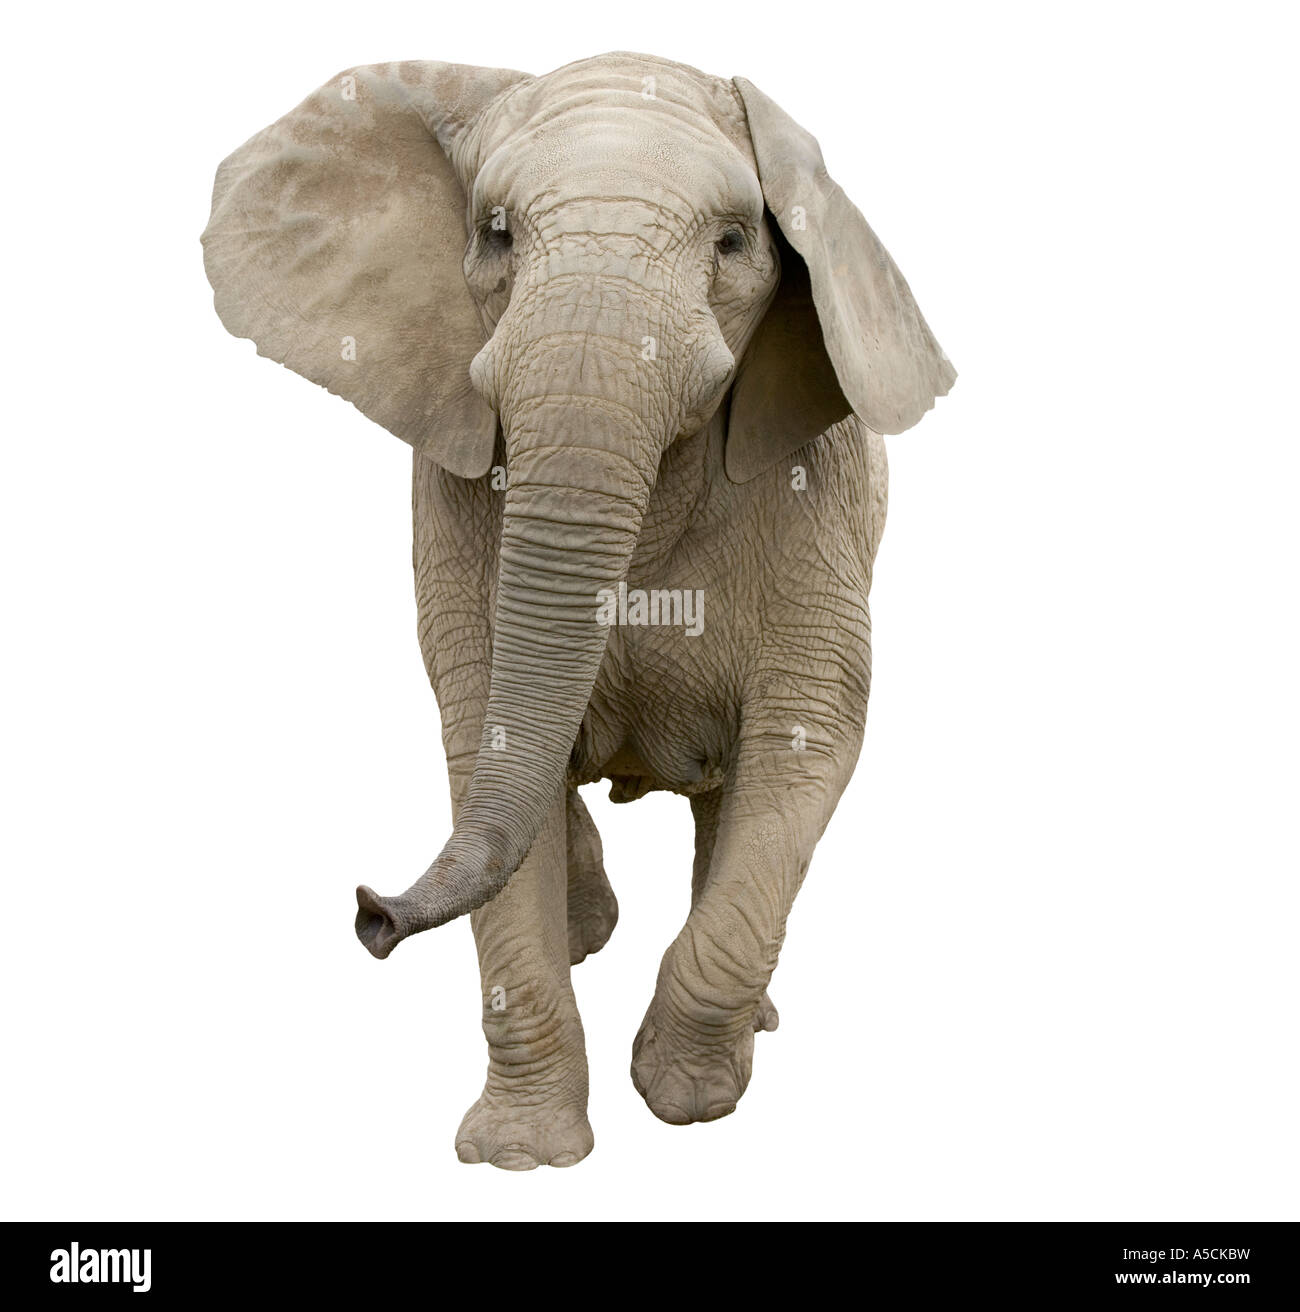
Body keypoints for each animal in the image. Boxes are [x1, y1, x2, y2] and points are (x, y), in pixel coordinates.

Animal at [202, 51, 954, 1169]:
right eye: (495, 233)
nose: (370, 913)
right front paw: (518, 1155)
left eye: (734, 241)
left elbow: (808, 737)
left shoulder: (817, 507)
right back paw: (590, 929)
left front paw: (685, 1093)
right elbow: (490, 735)